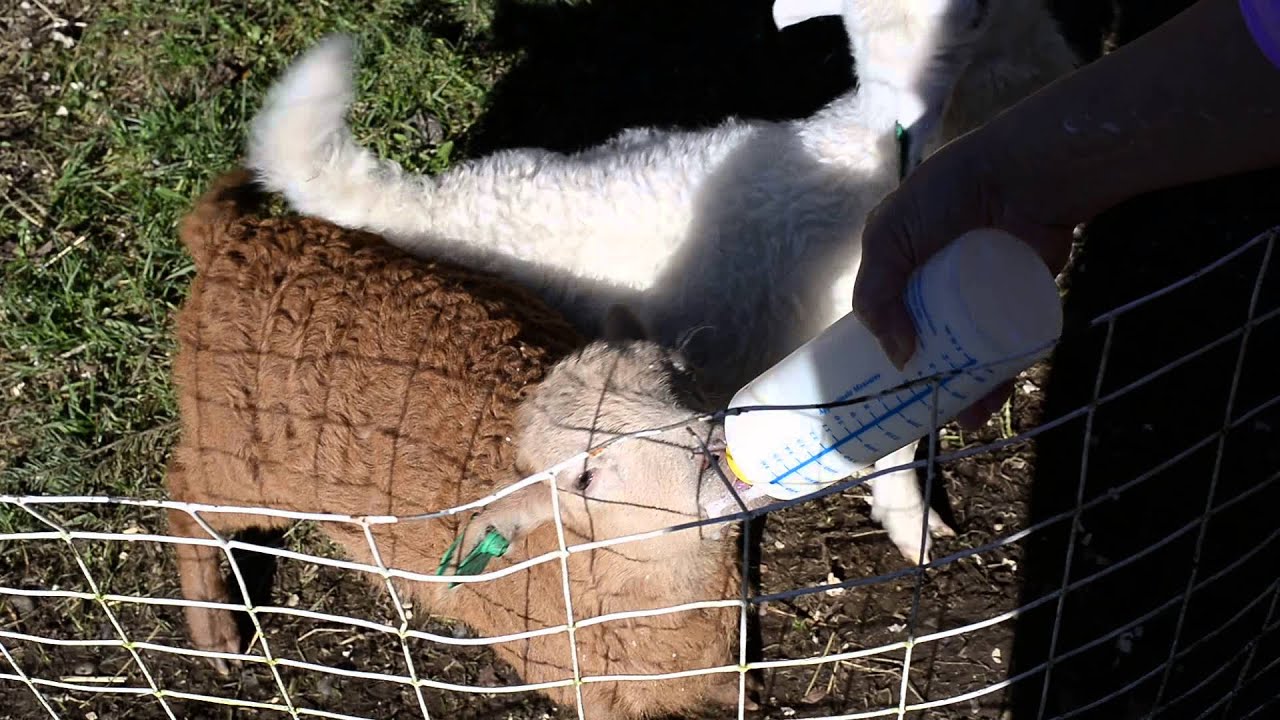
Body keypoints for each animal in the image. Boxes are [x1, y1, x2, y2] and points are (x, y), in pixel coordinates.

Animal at [166, 169, 764, 720]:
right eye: (584, 478)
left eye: (685, 378)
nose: (720, 449)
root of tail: (233, 238)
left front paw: (745, 690)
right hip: (232, 453)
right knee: (182, 494)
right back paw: (214, 633)